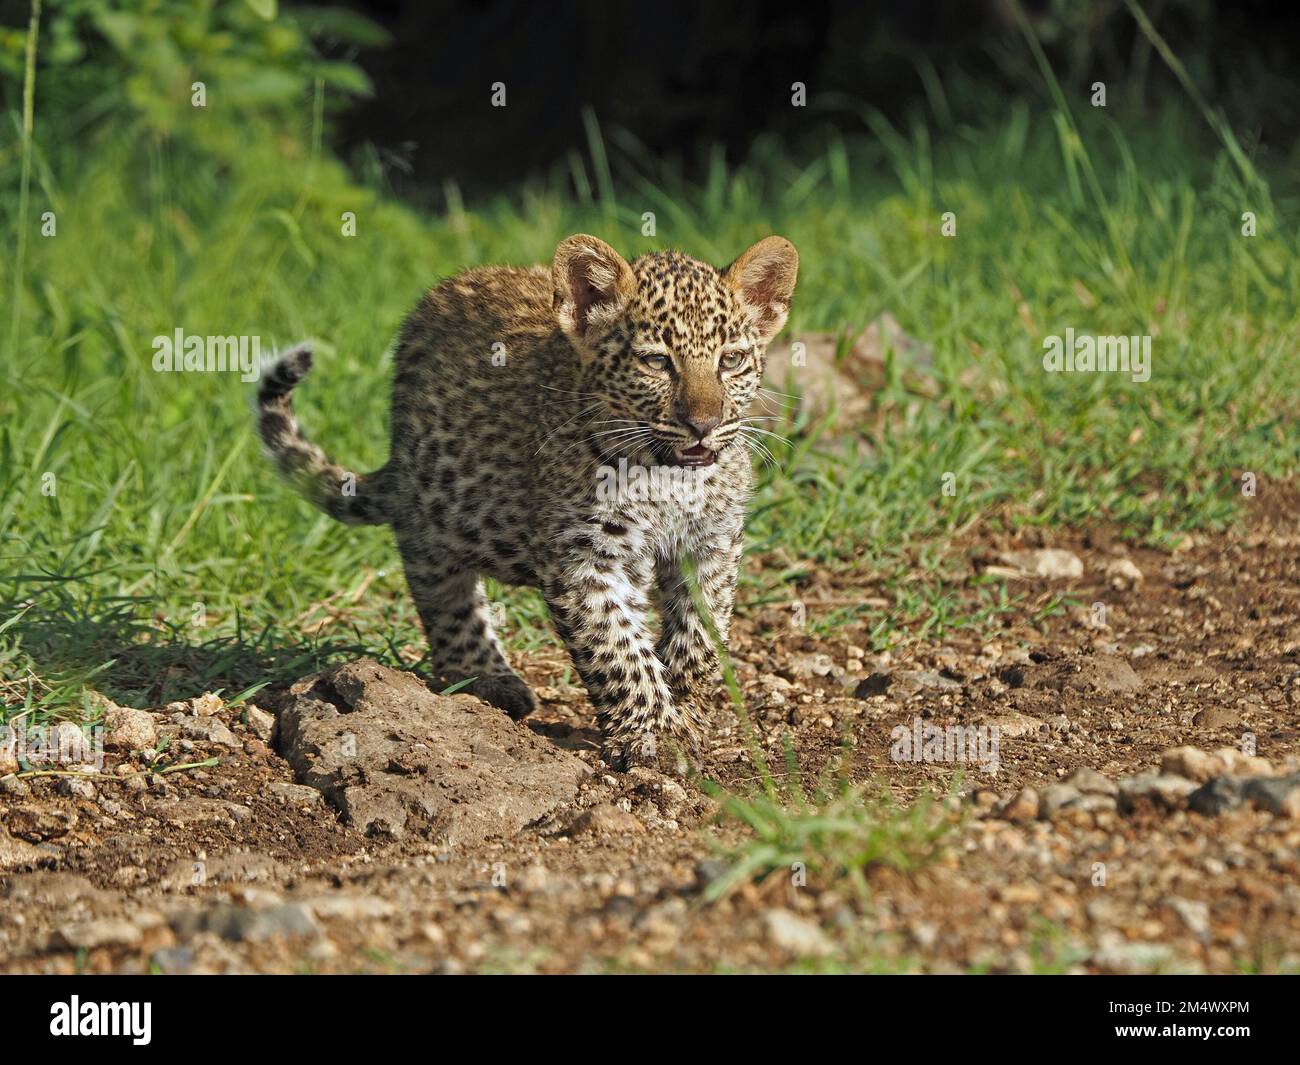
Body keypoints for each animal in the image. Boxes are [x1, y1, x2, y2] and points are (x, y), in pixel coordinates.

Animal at [257, 234, 799, 769]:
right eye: (656, 362)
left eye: (731, 360)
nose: (704, 424)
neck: (668, 480)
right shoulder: (583, 557)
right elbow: (616, 647)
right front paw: (657, 733)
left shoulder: (713, 542)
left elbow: (703, 630)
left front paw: (683, 692)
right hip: (434, 517)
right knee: (447, 598)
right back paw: (488, 679)